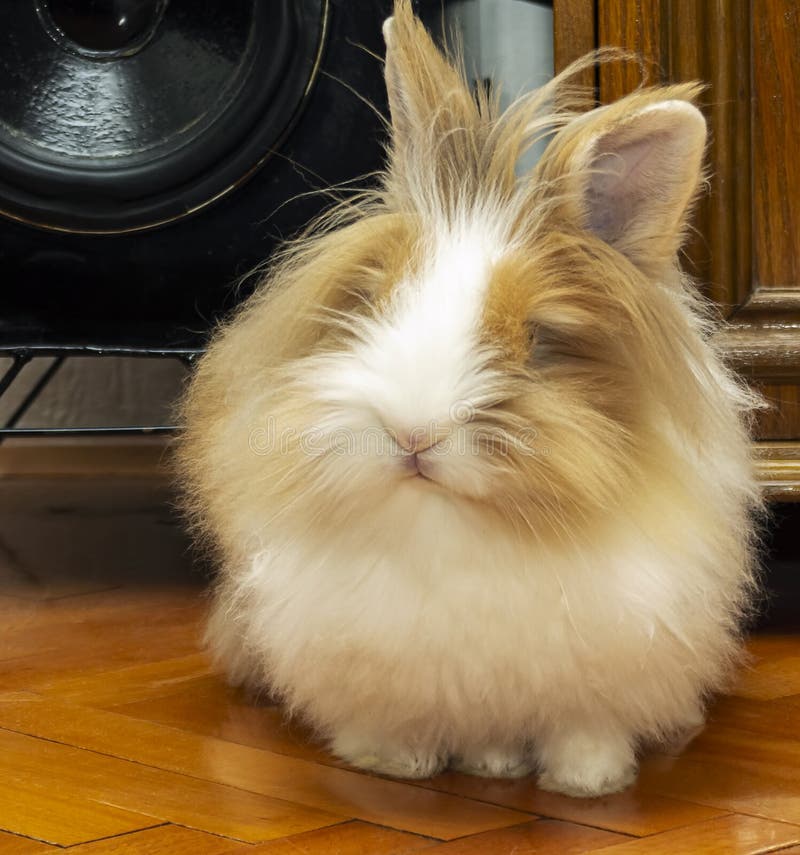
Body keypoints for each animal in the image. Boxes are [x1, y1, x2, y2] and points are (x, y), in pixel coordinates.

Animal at [176, 0, 762, 798]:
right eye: (376, 304)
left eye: (539, 341)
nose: (412, 434)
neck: (451, 530)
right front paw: (397, 761)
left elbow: (583, 730)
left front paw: (586, 782)